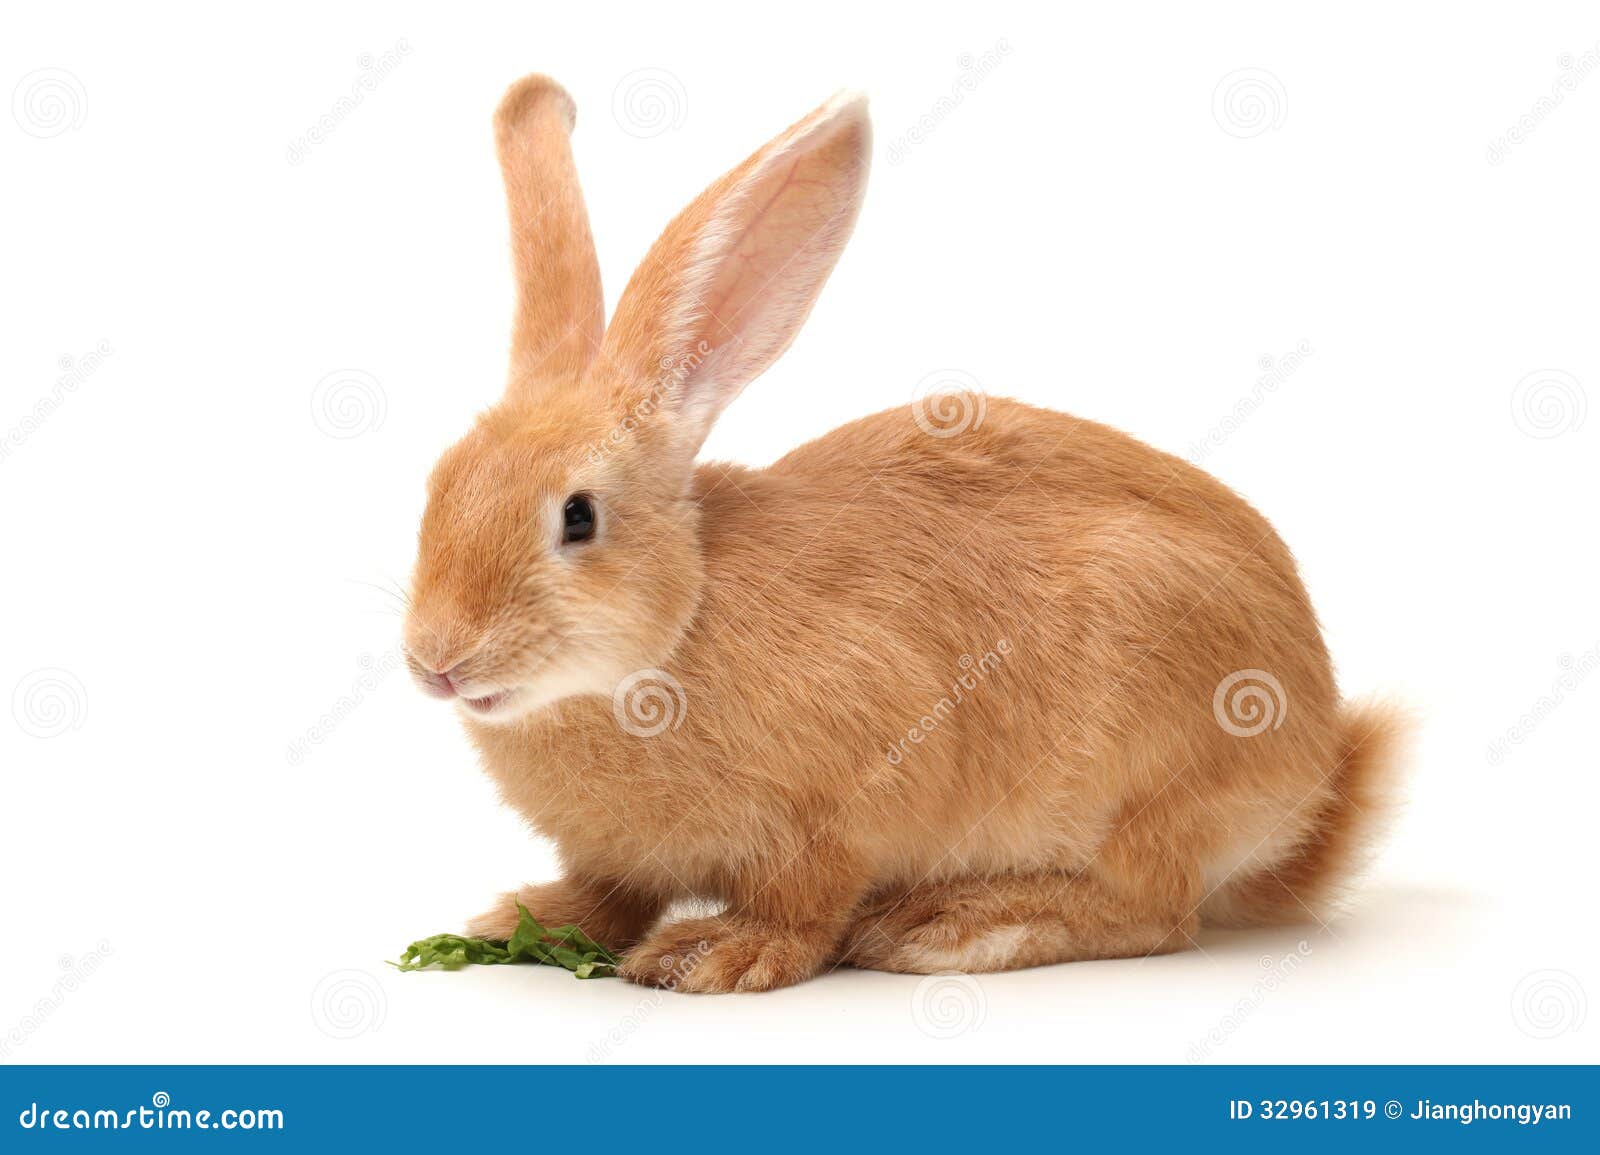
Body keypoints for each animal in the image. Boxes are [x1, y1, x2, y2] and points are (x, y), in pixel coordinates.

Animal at [401, 74, 1406, 993]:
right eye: (439, 485)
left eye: (578, 516)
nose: (437, 659)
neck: (669, 637)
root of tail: (1313, 778)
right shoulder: (617, 858)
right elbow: (607, 892)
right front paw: (517, 921)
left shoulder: (843, 803)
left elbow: (803, 904)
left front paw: (715, 953)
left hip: (1147, 761)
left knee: (1157, 910)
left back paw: (953, 925)